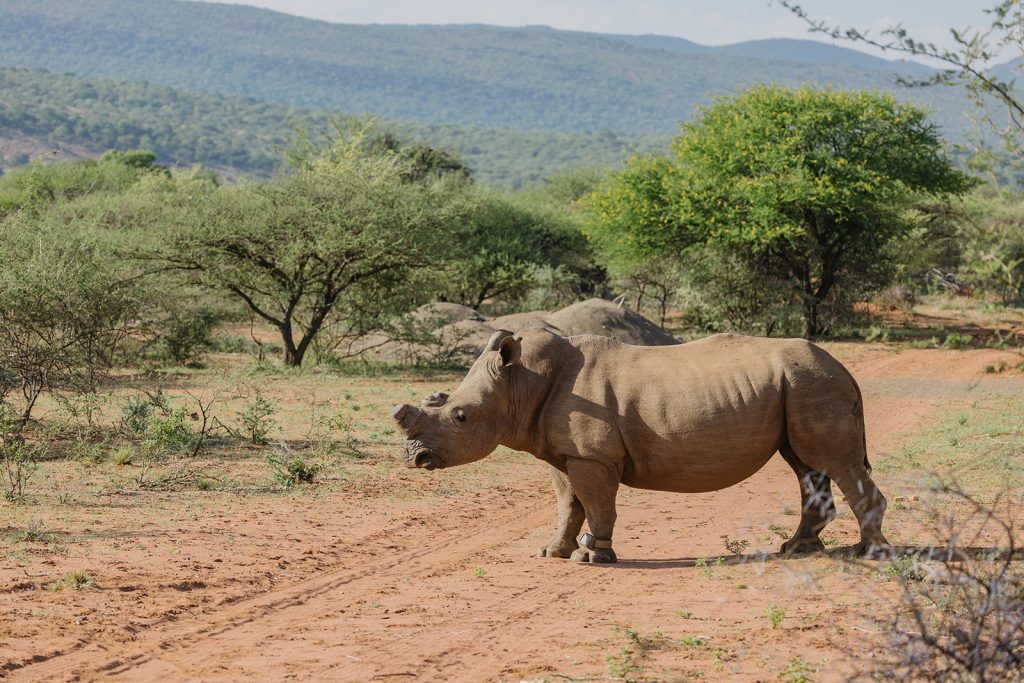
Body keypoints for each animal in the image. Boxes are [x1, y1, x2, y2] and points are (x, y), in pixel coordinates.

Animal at [390, 329, 889, 563]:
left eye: (460, 417)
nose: (415, 457)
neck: (521, 383)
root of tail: (843, 367)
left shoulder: (592, 455)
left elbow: (597, 503)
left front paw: (593, 557)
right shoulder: (563, 453)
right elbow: (568, 505)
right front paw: (553, 552)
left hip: (813, 384)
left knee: (834, 464)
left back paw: (871, 554)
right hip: (803, 385)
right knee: (806, 466)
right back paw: (797, 549)